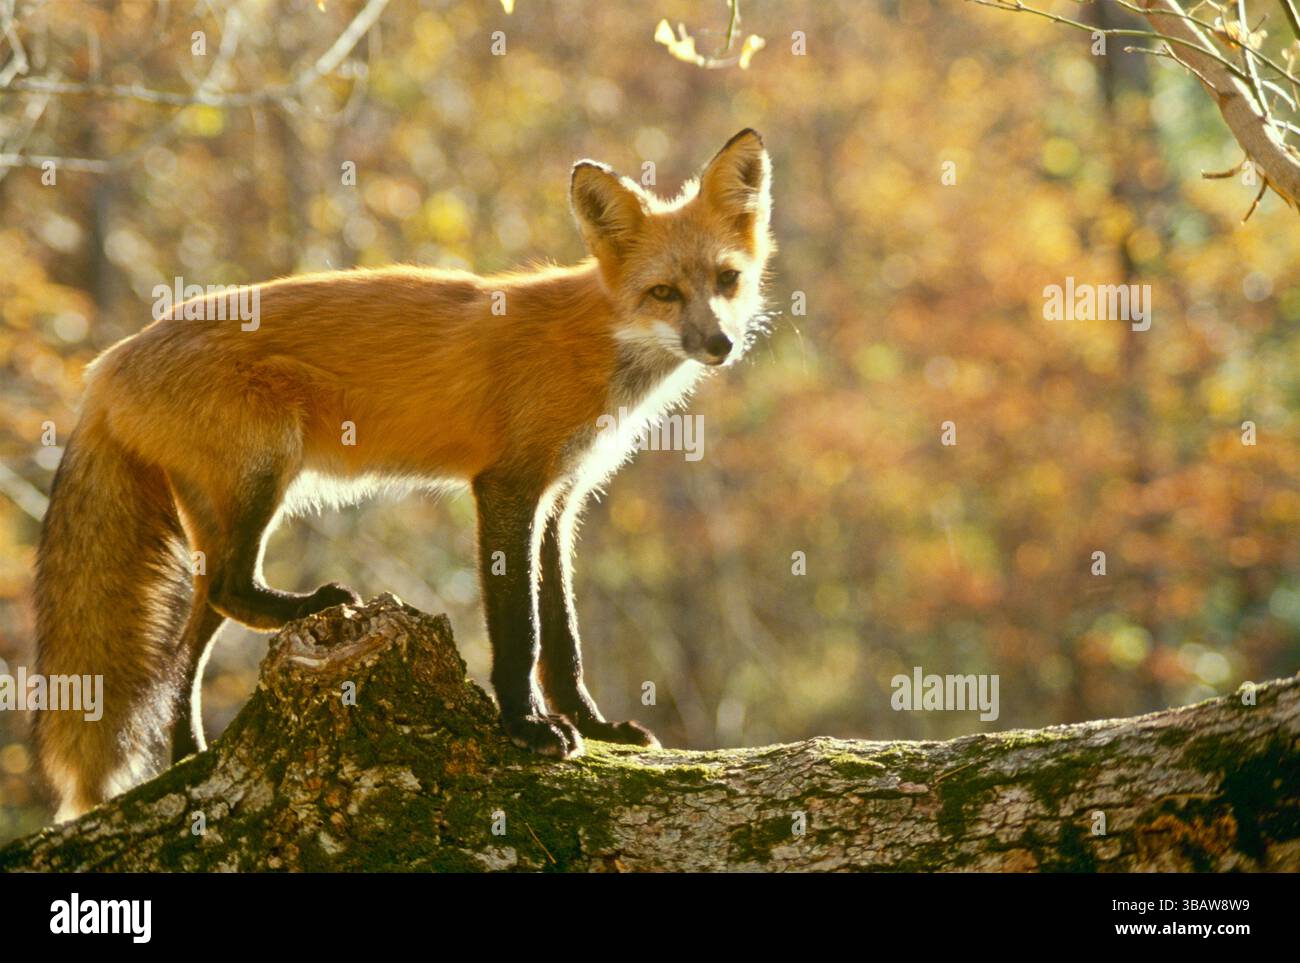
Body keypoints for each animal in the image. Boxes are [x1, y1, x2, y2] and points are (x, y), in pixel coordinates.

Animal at [33, 129, 774, 821]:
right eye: (663, 292)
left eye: (727, 280)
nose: (720, 344)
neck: (598, 342)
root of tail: (105, 365)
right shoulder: (507, 487)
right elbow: (521, 625)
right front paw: (526, 725)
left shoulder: (560, 501)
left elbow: (563, 636)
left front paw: (595, 727)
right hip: (263, 474)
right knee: (226, 592)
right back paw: (303, 612)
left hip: (221, 509)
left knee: (194, 634)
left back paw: (193, 757)